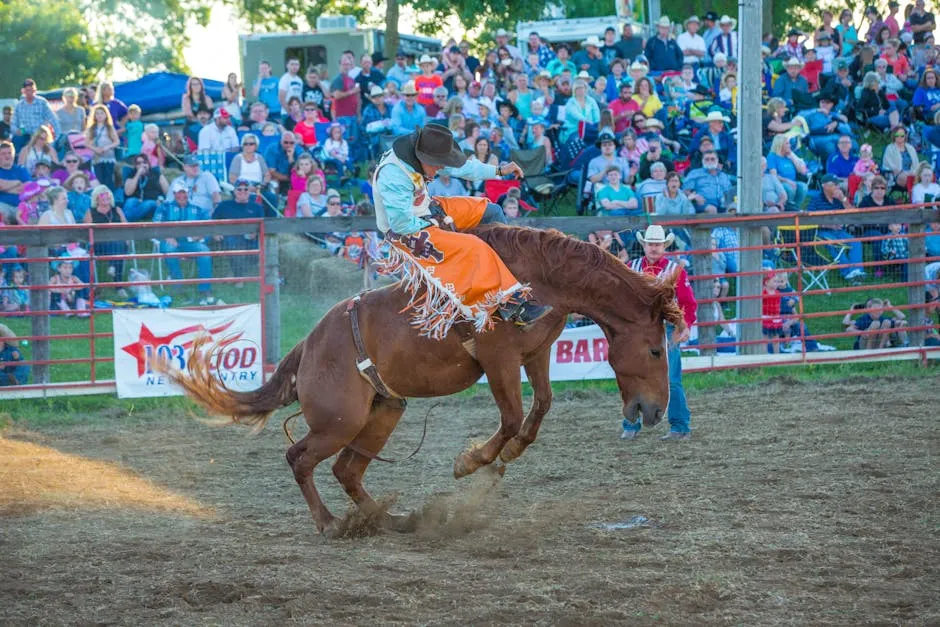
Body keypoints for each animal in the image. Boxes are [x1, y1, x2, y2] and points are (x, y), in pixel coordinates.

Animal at [165, 226, 684, 536]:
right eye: (656, 350)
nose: (655, 411)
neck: (538, 279)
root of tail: (308, 346)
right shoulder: (498, 358)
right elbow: (512, 416)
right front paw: (470, 463)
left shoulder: (534, 353)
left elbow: (540, 407)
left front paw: (506, 457)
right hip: (338, 421)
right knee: (300, 459)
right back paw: (331, 524)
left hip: (382, 412)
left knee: (346, 470)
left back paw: (391, 518)